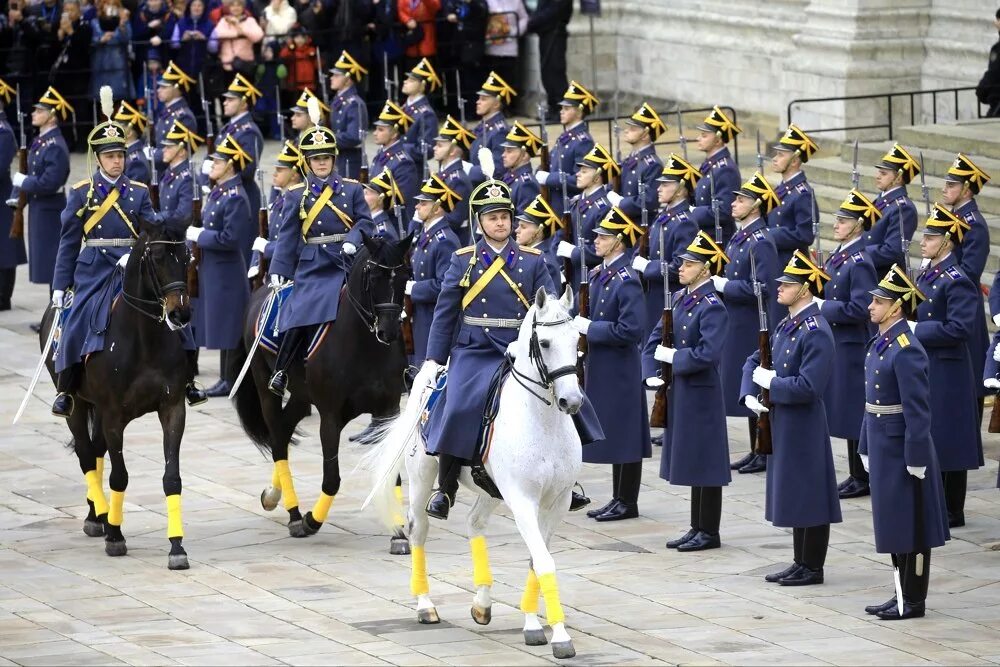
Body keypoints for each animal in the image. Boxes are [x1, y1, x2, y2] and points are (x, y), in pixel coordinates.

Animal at [41, 219, 194, 568]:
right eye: (157, 257)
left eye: (187, 256)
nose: (181, 315)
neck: (144, 338)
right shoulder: (113, 416)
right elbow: (119, 477)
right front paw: (115, 535)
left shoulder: (173, 408)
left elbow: (172, 477)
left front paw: (176, 546)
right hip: (78, 406)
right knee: (87, 456)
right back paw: (101, 515)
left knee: (95, 453)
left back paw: (96, 515)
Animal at [233, 232, 410, 552]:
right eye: (374, 276)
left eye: (404, 276)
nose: (389, 331)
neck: (364, 345)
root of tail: (263, 289)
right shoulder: (329, 416)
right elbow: (332, 480)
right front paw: (310, 521)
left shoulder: (388, 411)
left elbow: (390, 472)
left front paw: (399, 533)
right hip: (267, 389)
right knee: (278, 441)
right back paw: (293, 514)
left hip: (302, 396)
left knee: (285, 429)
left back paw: (272, 494)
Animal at [362, 286, 584, 656]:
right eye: (546, 343)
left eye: (577, 339)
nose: (573, 401)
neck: (543, 421)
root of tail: (429, 379)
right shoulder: (523, 500)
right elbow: (542, 561)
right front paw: (558, 635)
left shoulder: (559, 501)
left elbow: (536, 560)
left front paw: (535, 625)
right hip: (423, 476)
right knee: (418, 529)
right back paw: (425, 605)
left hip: (490, 488)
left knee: (474, 523)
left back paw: (482, 602)